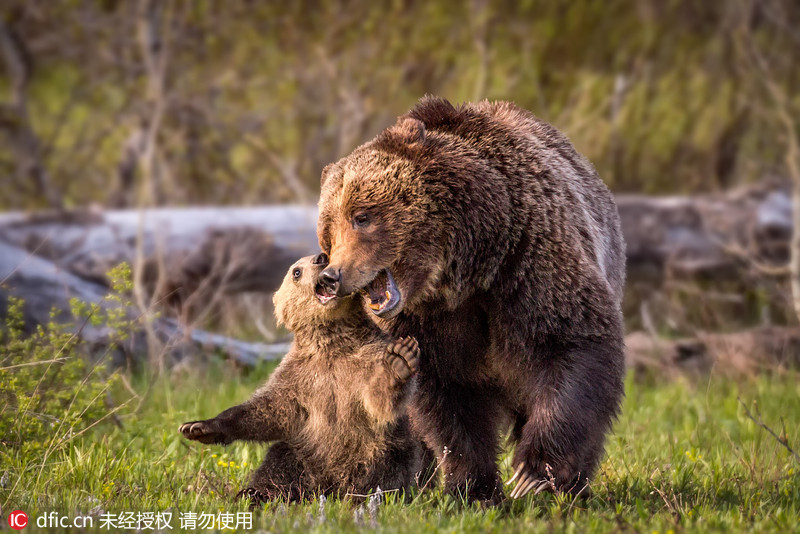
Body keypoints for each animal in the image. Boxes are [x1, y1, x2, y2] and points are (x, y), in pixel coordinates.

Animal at [179, 253, 422, 502]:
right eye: (296, 271)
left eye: (329, 255)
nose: (321, 258)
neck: (332, 342)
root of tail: (330, 486)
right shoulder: (299, 376)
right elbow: (268, 410)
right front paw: (197, 427)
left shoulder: (366, 360)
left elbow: (378, 402)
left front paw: (399, 360)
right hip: (305, 452)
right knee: (279, 465)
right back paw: (254, 494)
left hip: (380, 449)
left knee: (385, 472)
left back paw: (365, 497)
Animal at [316, 96, 626, 504]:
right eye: (327, 232)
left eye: (361, 215)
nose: (331, 276)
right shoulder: (426, 325)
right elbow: (445, 401)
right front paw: (474, 488)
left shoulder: (527, 264)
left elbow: (573, 343)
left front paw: (534, 473)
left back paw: (574, 489)